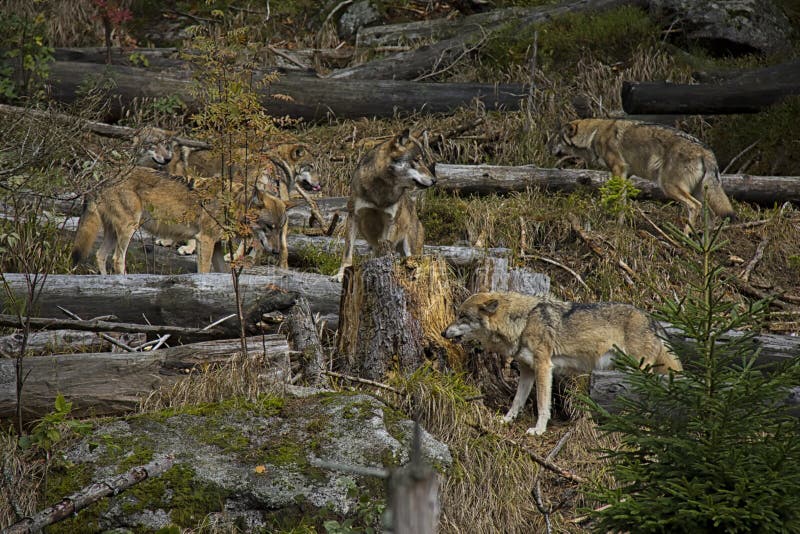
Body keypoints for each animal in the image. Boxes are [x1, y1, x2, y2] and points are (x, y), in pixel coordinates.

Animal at [71, 166, 287, 274]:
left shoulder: (216, 245)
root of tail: (103, 177)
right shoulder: (205, 240)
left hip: (113, 233)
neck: (232, 203)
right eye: (269, 227)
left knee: (100, 255)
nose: (276, 251)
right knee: (117, 260)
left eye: (280, 228)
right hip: (128, 229)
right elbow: (204, 273)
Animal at [333, 129, 435, 282]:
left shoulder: (390, 222)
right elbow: (347, 252)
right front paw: (341, 275)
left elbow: (385, 254)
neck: (381, 190)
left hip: (410, 248)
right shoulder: (353, 217)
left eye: (423, 160)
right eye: (416, 160)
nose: (435, 180)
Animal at [442, 291, 682, 435]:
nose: (444, 332)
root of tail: (653, 320)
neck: (522, 322)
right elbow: (517, 401)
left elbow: (542, 404)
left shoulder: (543, 367)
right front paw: (506, 420)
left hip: (637, 371)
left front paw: (538, 430)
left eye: (462, 316)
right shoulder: (527, 371)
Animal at [549, 118, 736, 232]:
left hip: (670, 187)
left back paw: (686, 237)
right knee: (710, 215)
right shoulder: (626, 174)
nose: (548, 149)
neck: (594, 134)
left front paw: (614, 222)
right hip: (699, 193)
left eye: (556, 139)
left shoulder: (618, 169)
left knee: (695, 206)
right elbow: (619, 199)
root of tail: (707, 152)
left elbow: (616, 199)